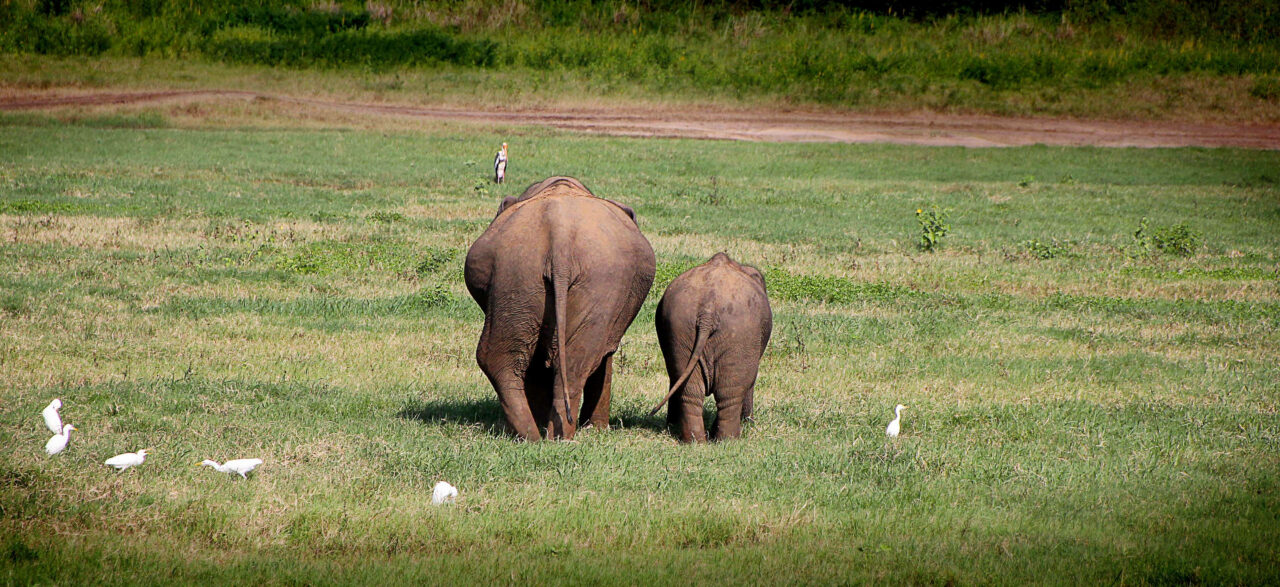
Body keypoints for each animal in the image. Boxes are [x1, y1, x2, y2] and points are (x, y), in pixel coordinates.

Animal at [649, 252, 772, 442]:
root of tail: (707, 312)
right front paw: (747, 423)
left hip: (680, 328)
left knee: (689, 390)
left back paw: (695, 441)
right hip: (741, 334)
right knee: (729, 394)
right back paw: (728, 441)